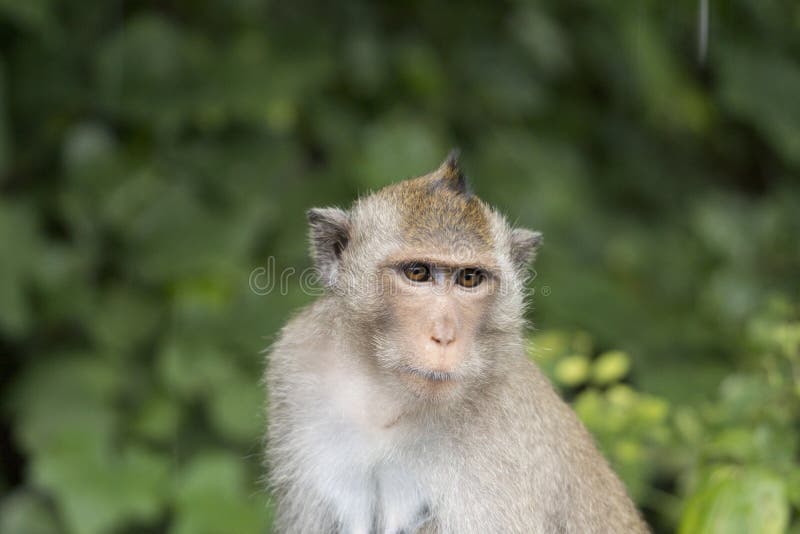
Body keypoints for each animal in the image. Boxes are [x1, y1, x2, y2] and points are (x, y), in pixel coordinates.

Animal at [265, 153, 649, 534]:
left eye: (469, 278)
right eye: (417, 272)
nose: (445, 336)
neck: (391, 402)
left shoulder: (504, 434)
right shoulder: (300, 362)